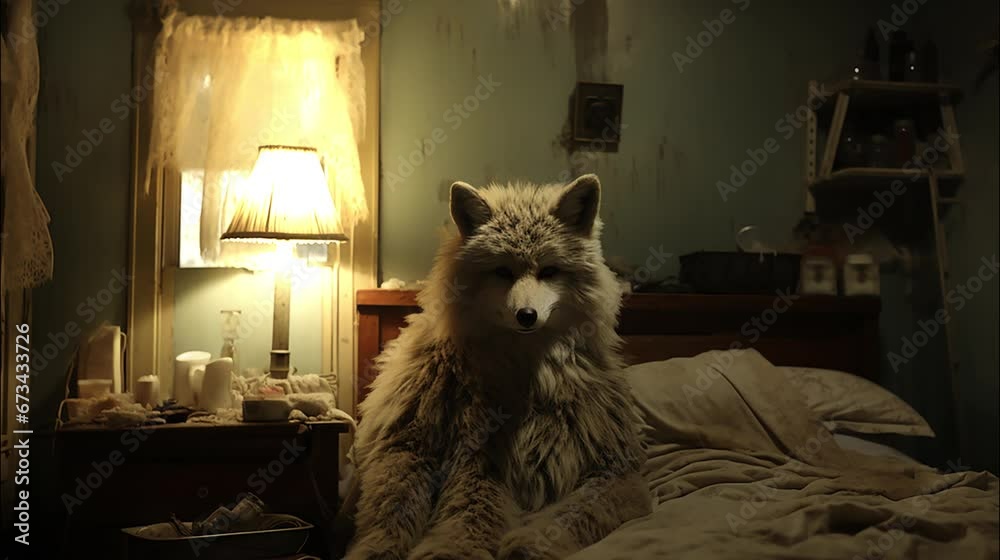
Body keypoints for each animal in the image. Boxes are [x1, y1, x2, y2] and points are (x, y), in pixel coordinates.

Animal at [343, 174, 651, 560]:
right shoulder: (479, 463)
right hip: (408, 453)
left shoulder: (614, 474)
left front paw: (528, 544)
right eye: (502, 272)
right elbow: (468, 519)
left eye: (549, 271)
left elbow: (568, 517)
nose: (526, 316)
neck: (526, 371)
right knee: (388, 519)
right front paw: (453, 551)